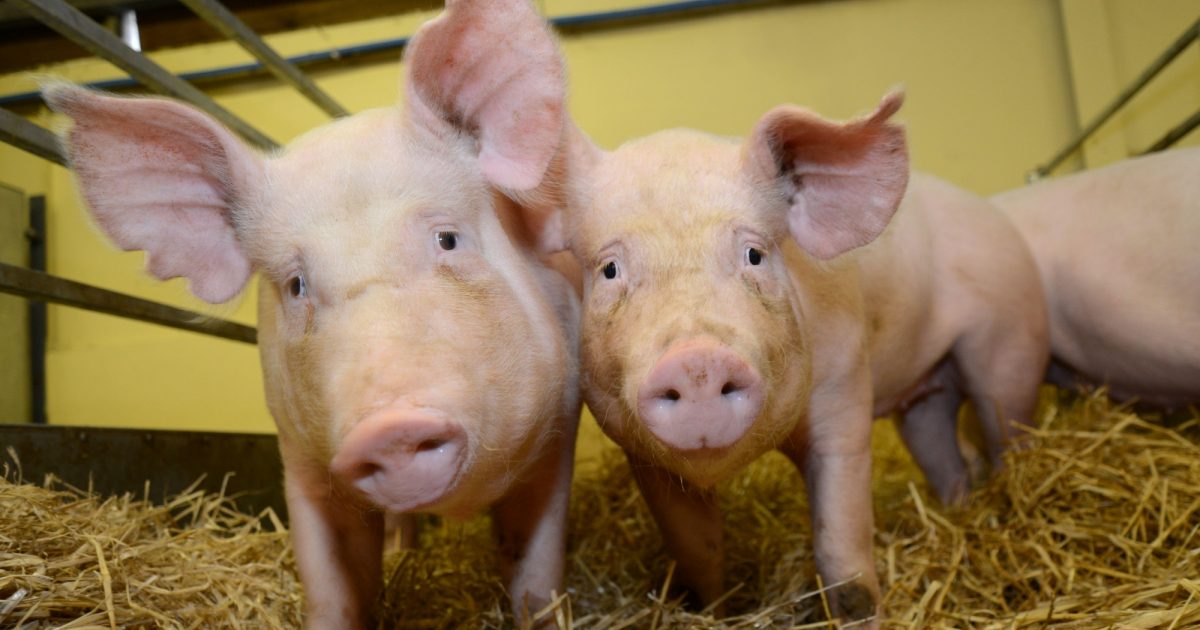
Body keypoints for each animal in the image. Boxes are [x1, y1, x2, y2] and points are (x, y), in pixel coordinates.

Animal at [43, 0, 580, 626]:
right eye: (295, 285)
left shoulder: (560, 427)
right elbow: (331, 583)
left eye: (448, 239)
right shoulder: (299, 459)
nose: (388, 429)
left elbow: (534, 570)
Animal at [552, 94, 1049, 624]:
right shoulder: (642, 455)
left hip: (1010, 342)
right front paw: (715, 611)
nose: (696, 361)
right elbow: (698, 548)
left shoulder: (845, 385)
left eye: (754, 254)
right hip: (925, 400)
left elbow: (841, 548)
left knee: (1007, 431)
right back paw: (958, 506)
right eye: (609, 270)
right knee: (944, 453)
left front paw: (860, 617)